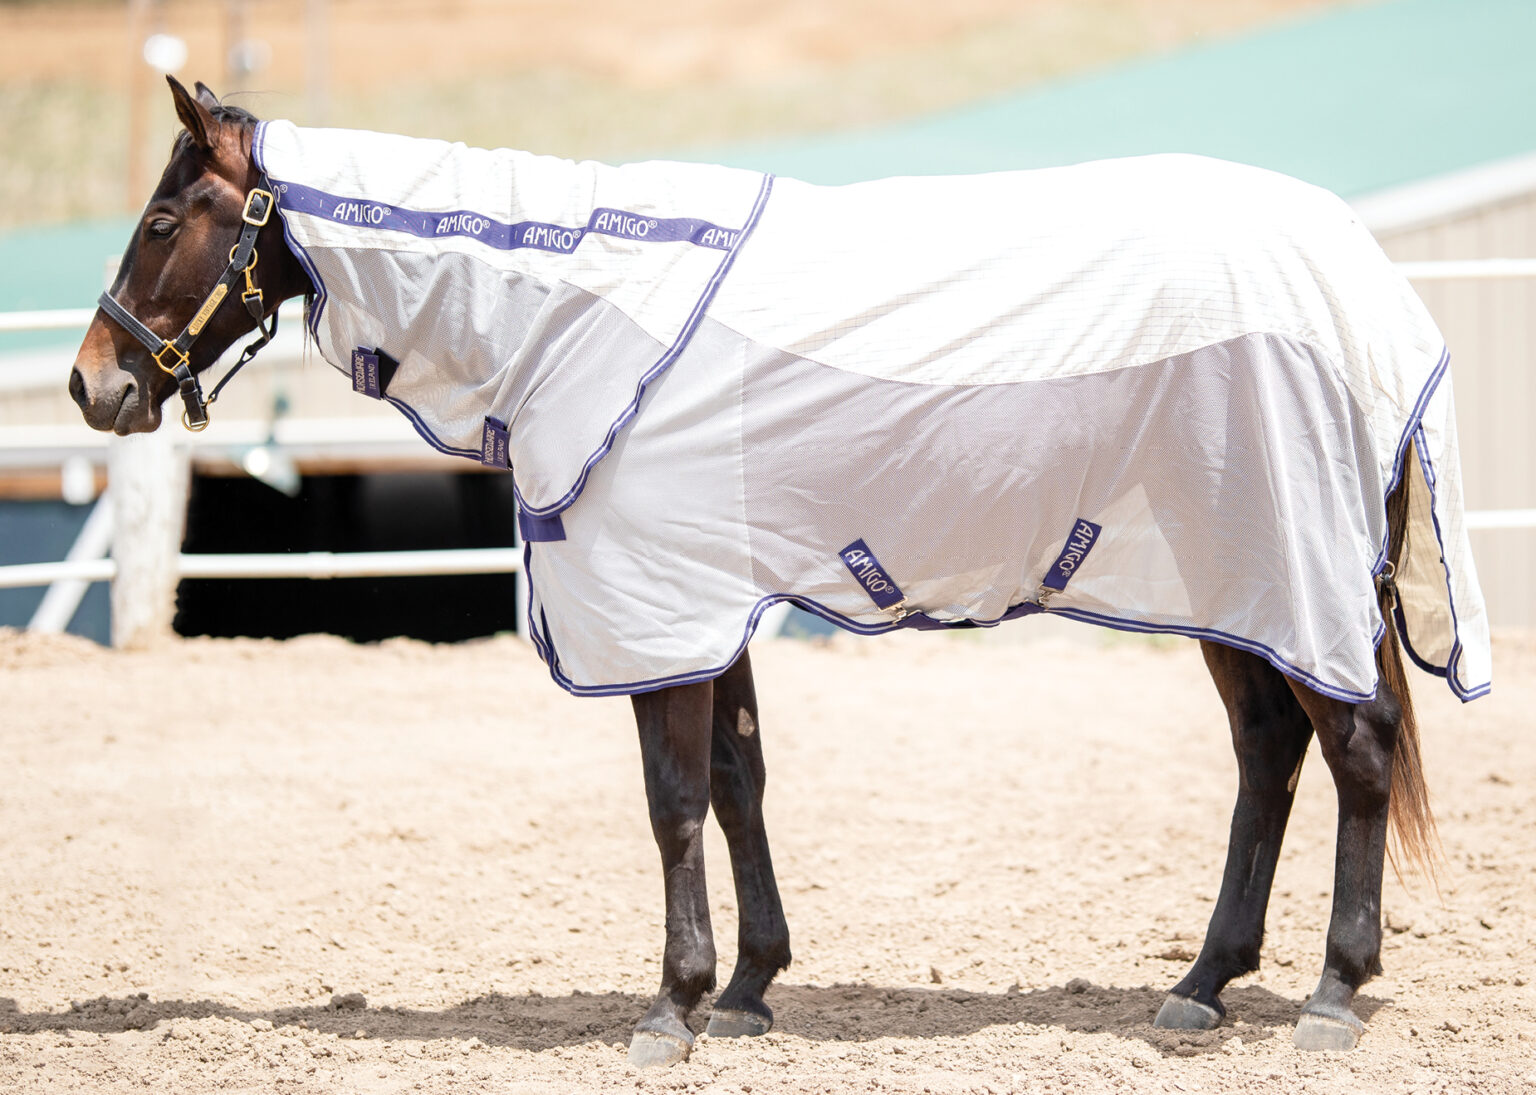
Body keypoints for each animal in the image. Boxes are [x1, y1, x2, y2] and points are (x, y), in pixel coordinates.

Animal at [71, 77, 1488, 1068]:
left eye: (161, 217)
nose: (96, 384)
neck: (570, 309)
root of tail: (1363, 282)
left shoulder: (658, 615)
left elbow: (672, 803)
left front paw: (672, 1006)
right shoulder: (710, 606)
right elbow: (740, 786)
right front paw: (750, 989)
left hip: (1286, 568)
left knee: (1355, 748)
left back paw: (1330, 992)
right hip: (1228, 577)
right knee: (1270, 752)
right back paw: (1201, 986)